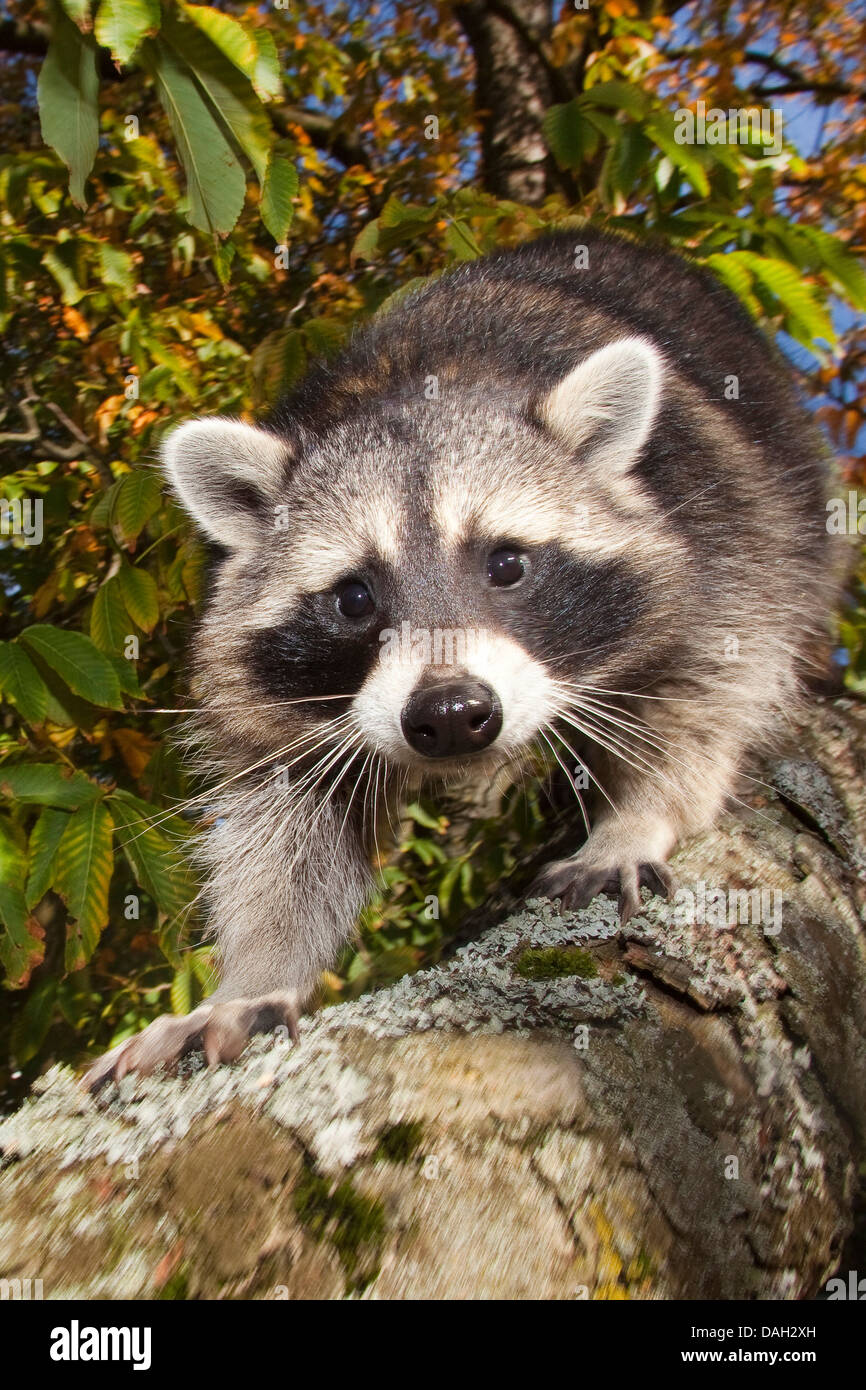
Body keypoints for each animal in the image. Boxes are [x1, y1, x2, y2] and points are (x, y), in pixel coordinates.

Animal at [85, 227, 835, 1088]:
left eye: (506, 563)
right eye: (354, 598)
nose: (449, 715)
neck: (417, 390)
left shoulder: (721, 528)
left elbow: (711, 687)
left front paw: (639, 817)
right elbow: (284, 824)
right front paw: (254, 977)